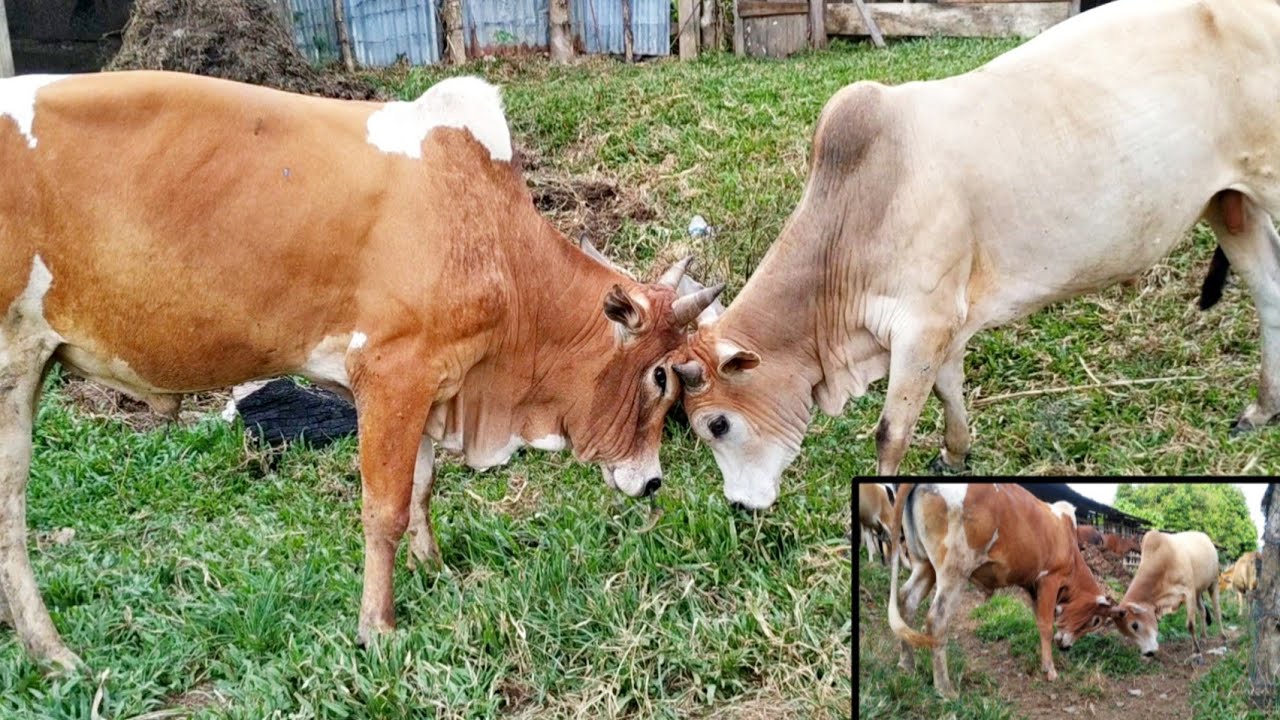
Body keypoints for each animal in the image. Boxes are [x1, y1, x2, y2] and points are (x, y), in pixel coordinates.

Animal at [0, 71, 724, 670]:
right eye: (660, 376)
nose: (653, 482)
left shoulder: (434, 380)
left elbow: (424, 487)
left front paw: (436, 569)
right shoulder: (391, 371)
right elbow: (386, 508)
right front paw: (379, 626)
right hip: (14, 364)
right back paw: (53, 652)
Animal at [671, 0, 1280, 501]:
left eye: (718, 424)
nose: (739, 504)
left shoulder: (923, 323)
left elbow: (891, 431)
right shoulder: (945, 322)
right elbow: (949, 390)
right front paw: (955, 452)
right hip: (1229, 201)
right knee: (1268, 290)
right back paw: (1260, 409)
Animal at [887, 483, 1116, 698]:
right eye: (1095, 621)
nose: (1066, 647)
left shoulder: (1033, 585)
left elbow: (1039, 622)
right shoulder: (1050, 578)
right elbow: (1046, 626)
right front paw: (1050, 670)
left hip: (924, 564)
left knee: (907, 600)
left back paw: (907, 665)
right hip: (954, 569)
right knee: (937, 620)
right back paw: (945, 688)